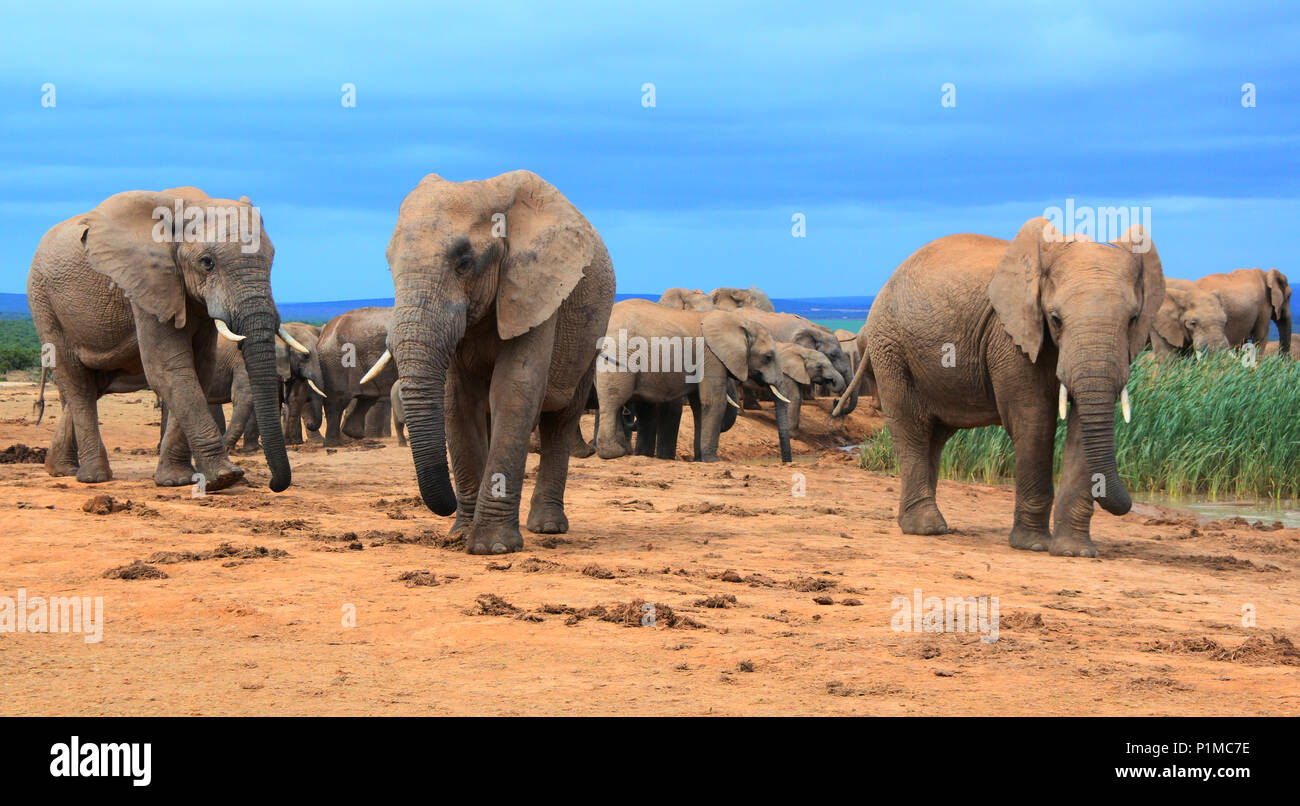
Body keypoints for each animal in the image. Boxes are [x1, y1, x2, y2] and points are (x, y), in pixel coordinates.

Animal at [26, 187, 292, 491]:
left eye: (271, 260)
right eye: (207, 263)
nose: (273, 484)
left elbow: (199, 371)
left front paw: (176, 480)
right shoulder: (147, 282)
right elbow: (169, 370)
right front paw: (225, 478)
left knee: (93, 385)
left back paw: (60, 470)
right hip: (44, 301)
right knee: (76, 381)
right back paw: (93, 477)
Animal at [316, 306, 397, 446]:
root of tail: (324, 332)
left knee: (368, 397)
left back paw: (356, 434)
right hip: (335, 360)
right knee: (337, 401)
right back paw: (334, 444)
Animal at [382, 170, 615, 555]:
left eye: (464, 263)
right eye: (389, 264)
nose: (447, 508)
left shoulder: (536, 288)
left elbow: (513, 391)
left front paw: (491, 547)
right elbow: (457, 401)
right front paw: (462, 535)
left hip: (590, 334)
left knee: (561, 418)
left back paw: (547, 528)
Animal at [596, 299, 790, 462]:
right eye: (768, 357)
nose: (785, 462)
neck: (739, 322)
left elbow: (699, 406)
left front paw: (700, 460)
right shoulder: (711, 358)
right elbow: (713, 402)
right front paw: (713, 461)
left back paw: (621, 452)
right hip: (619, 357)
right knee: (614, 401)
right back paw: (613, 454)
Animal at [833, 218, 1164, 558]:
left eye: (1133, 319)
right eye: (1055, 319)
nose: (1128, 504)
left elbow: (1081, 427)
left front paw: (1075, 552)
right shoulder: (1009, 336)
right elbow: (1033, 420)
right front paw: (1033, 546)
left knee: (934, 435)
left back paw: (927, 524)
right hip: (891, 347)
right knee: (912, 425)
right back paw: (926, 528)